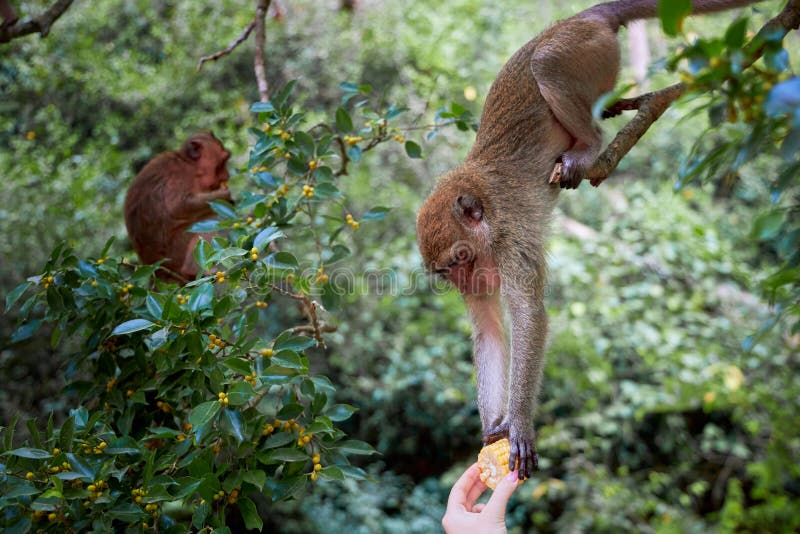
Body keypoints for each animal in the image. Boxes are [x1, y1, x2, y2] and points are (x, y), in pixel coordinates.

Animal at [124, 132, 232, 283]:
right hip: (176, 252)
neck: (189, 166)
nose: (227, 176)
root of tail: (157, 270)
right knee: (211, 219)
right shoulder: (179, 176)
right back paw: (194, 271)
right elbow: (178, 206)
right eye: (221, 164)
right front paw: (224, 196)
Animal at [416, 0, 760, 479]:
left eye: (463, 257)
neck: (489, 214)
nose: (467, 282)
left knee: (546, 65)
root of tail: (586, 17)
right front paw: (494, 426)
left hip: (586, 51)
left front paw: (519, 423)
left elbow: (529, 316)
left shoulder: (512, 239)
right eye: (448, 271)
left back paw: (589, 143)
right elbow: (489, 330)